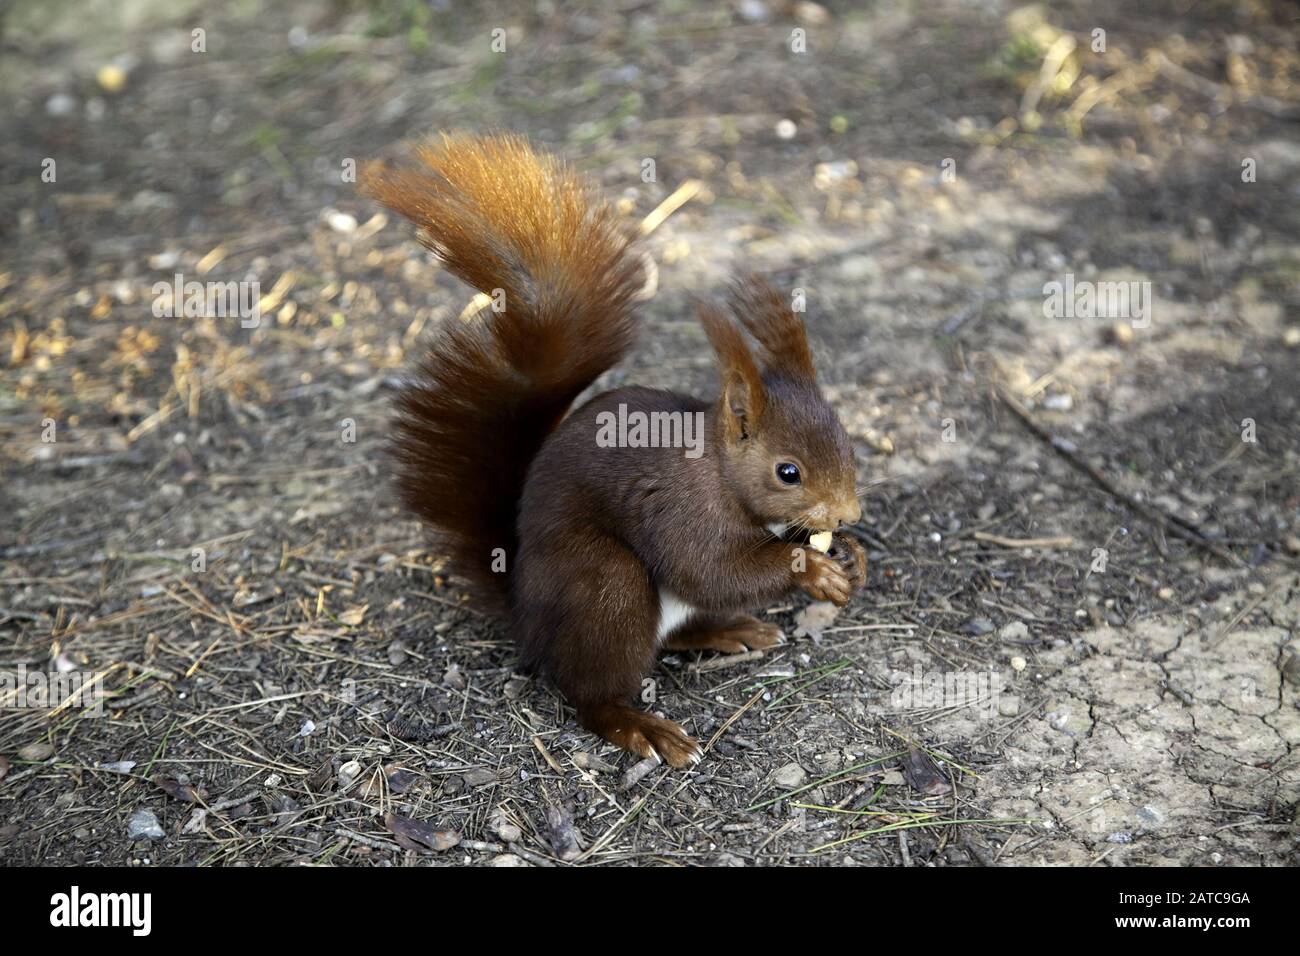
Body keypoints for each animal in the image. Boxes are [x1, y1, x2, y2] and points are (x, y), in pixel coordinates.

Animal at [364, 135, 867, 767]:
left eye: (848, 442)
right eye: (788, 472)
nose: (849, 514)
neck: (719, 473)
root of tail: (525, 617)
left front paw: (850, 553)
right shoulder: (680, 510)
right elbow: (710, 568)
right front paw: (812, 568)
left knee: (673, 632)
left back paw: (731, 631)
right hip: (608, 586)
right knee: (591, 693)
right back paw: (640, 726)